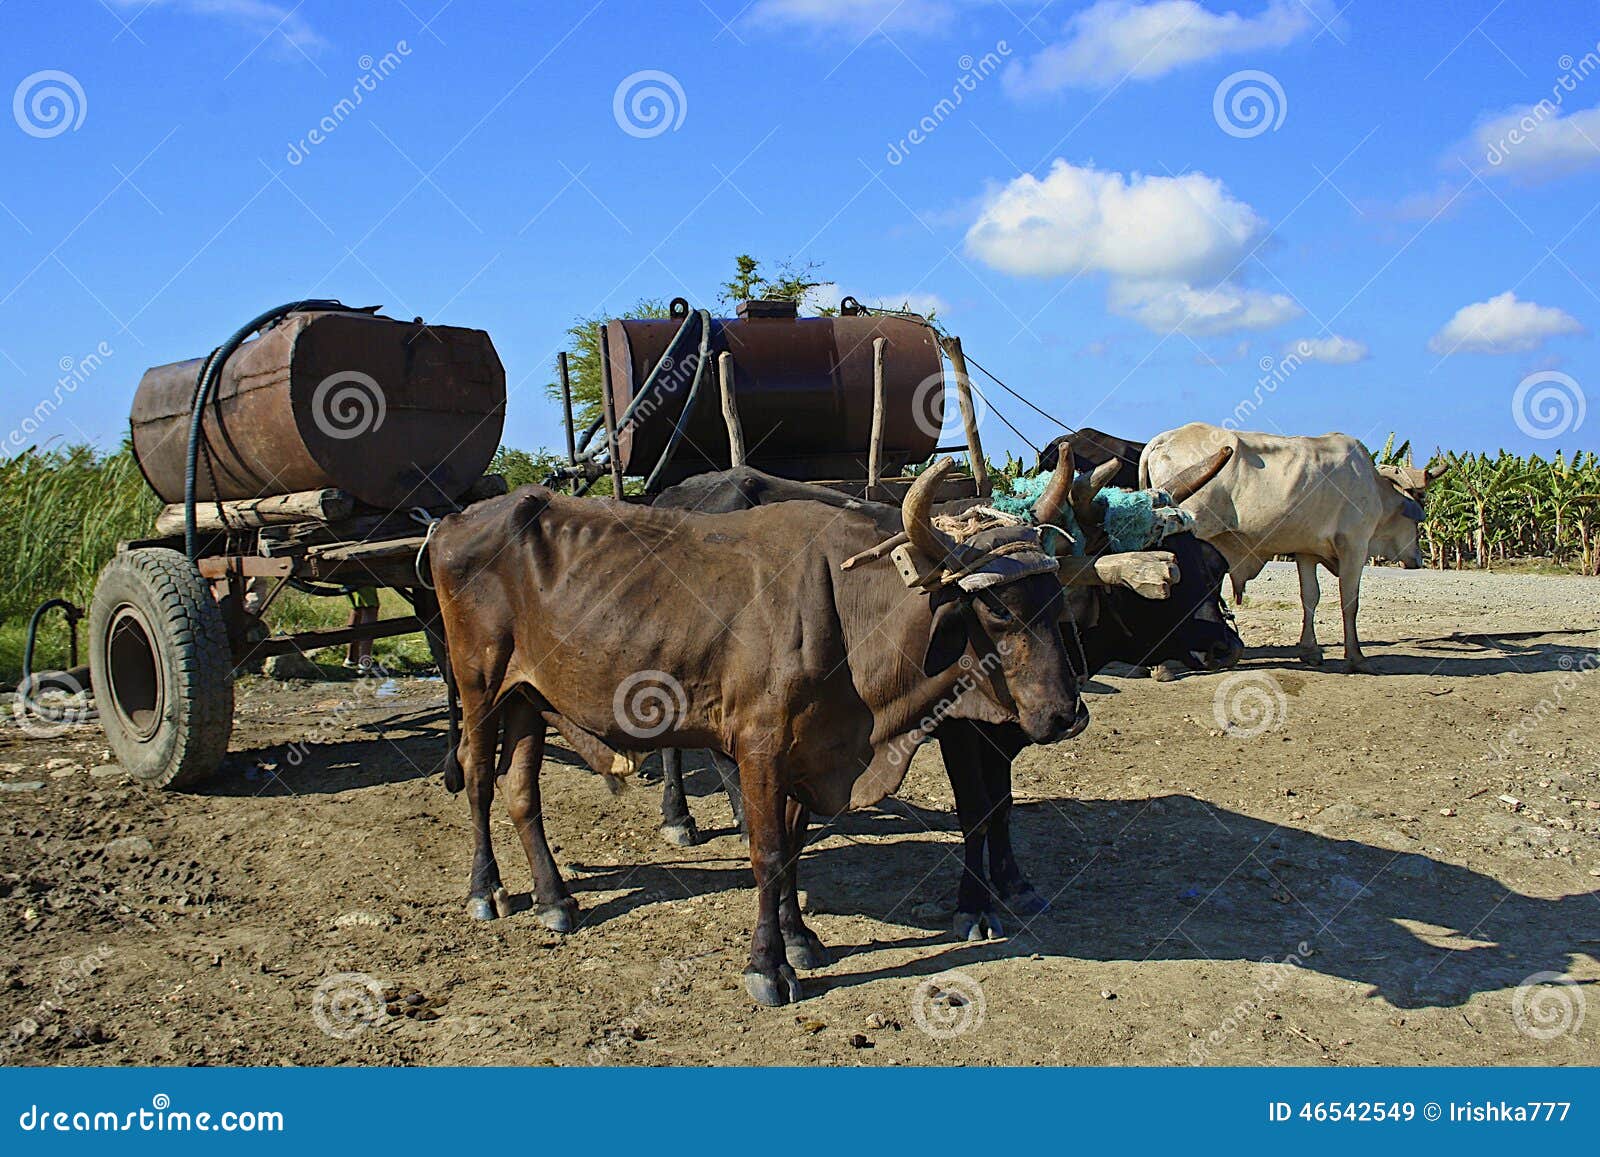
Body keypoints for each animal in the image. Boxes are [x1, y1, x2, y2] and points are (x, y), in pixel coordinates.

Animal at [426, 458, 1086, 1005]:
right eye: (996, 608)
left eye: (1057, 597)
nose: (1065, 714)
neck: (846, 614)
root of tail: (456, 519)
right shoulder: (760, 749)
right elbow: (767, 852)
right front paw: (768, 967)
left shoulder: (807, 753)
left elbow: (792, 849)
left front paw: (799, 939)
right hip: (480, 682)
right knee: (480, 780)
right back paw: (487, 890)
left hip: (527, 698)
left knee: (520, 792)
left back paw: (555, 899)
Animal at [648, 450, 1241, 938]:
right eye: (1162, 579)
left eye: (1215, 566)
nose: (1226, 647)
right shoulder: (956, 728)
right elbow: (975, 809)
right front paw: (973, 905)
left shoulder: (1003, 733)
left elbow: (1002, 805)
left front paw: (1014, 883)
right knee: (674, 741)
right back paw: (680, 816)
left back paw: (741, 813)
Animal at [1140, 422, 1447, 673]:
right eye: (1416, 519)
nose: (1418, 558)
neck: (1373, 487)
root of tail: (1161, 439)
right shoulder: (1354, 546)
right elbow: (1350, 602)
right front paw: (1357, 658)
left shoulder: (1306, 551)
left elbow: (1310, 596)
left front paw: (1310, 651)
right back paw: (1163, 664)